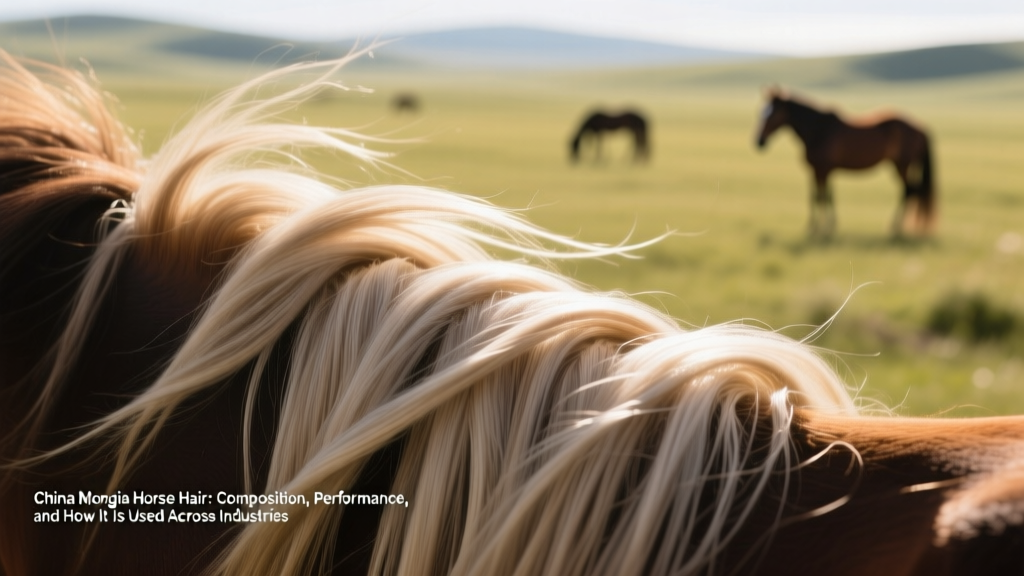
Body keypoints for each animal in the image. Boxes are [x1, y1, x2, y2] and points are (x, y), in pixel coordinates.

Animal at [755, 88, 936, 239]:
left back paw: (895, 227)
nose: (759, 141)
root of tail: (920, 128)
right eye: (761, 112)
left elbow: (823, 197)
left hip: (901, 165)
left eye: (772, 114)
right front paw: (816, 226)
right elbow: (819, 196)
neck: (818, 130)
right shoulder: (817, 170)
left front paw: (824, 228)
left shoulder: (823, 169)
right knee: (912, 191)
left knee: (909, 191)